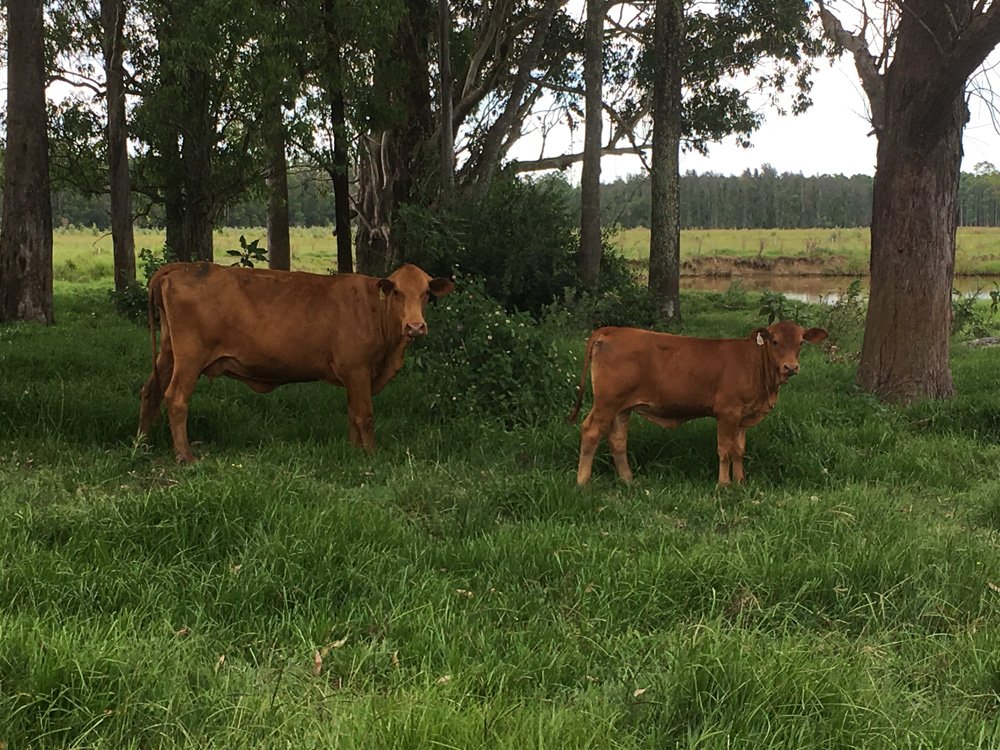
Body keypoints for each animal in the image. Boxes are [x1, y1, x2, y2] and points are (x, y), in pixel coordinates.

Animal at [137, 262, 454, 462]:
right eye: (397, 292)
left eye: (426, 293)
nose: (415, 326)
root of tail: (183, 266)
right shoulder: (358, 370)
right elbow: (365, 415)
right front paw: (370, 456)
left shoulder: (353, 377)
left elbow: (353, 413)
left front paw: (353, 451)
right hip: (190, 357)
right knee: (176, 399)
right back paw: (186, 456)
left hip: (168, 353)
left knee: (151, 392)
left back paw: (142, 443)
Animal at [568, 321, 828, 485]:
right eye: (774, 341)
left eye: (801, 342)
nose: (791, 367)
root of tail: (612, 330)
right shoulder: (728, 412)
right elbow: (725, 450)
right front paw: (724, 484)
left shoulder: (743, 416)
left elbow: (739, 450)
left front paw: (740, 481)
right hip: (607, 402)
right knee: (591, 431)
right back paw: (583, 482)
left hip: (623, 408)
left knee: (618, 440)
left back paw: (628, 480)